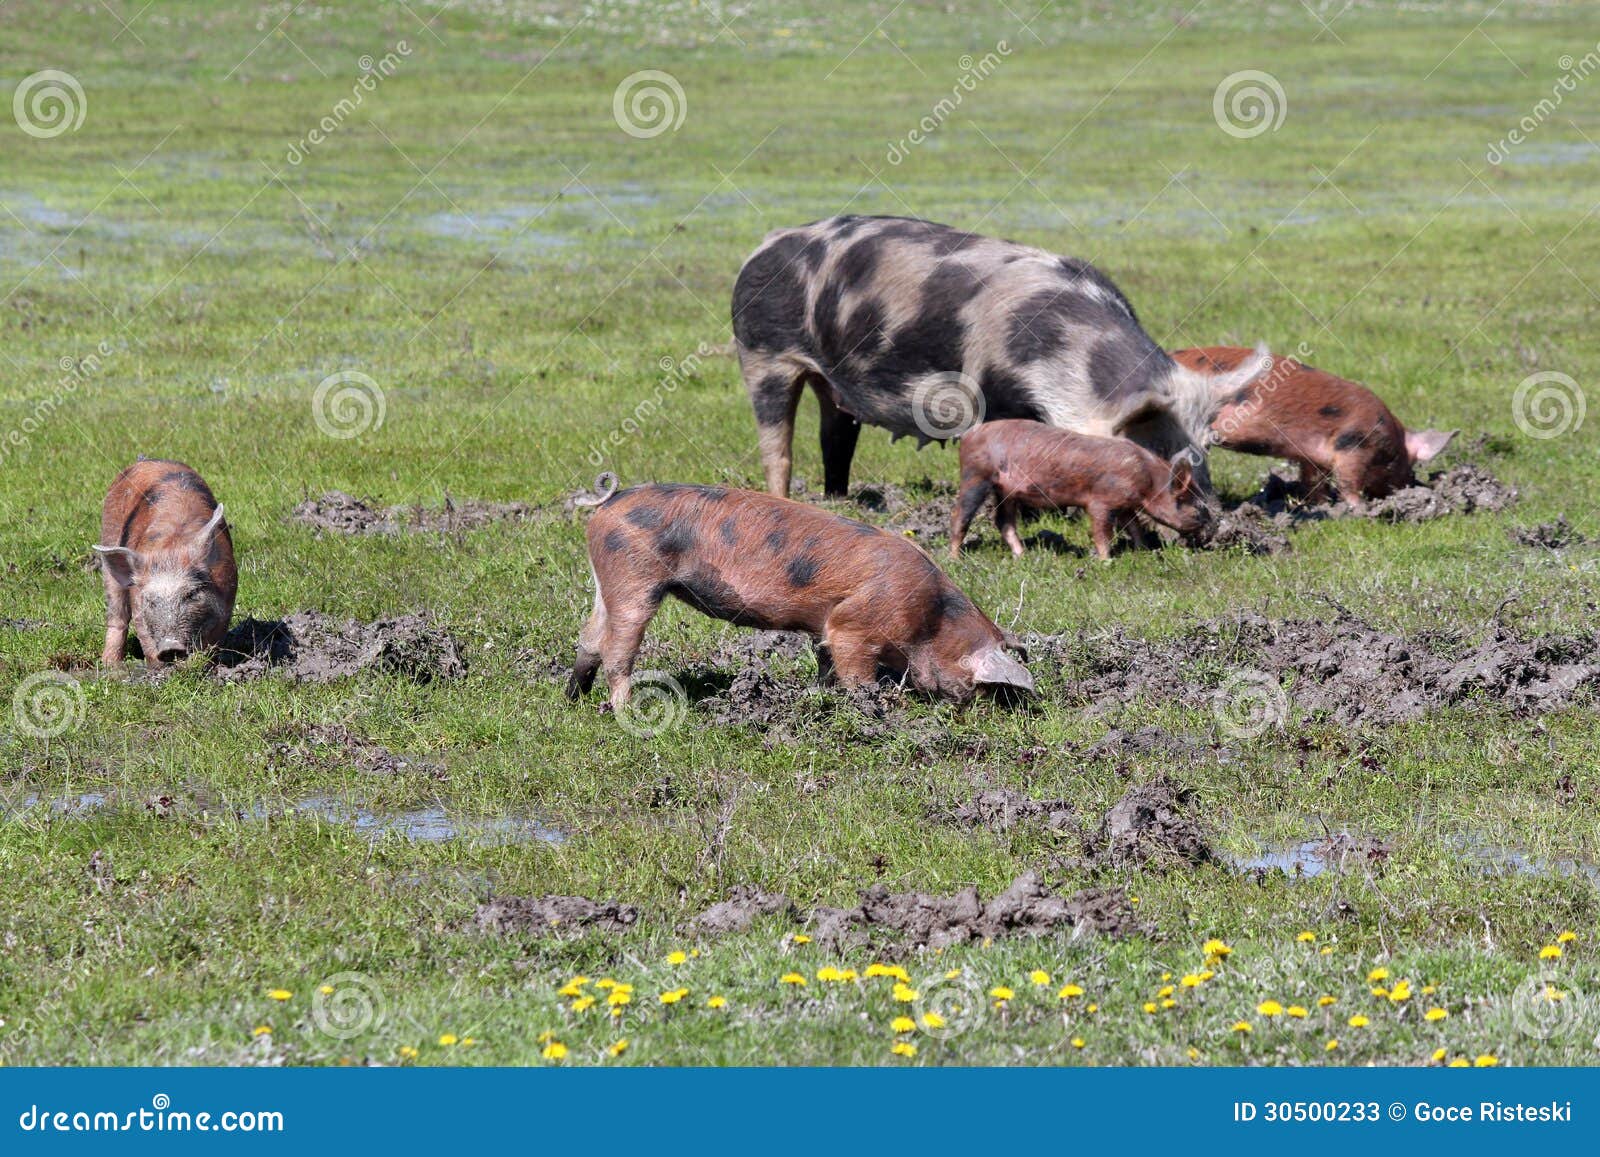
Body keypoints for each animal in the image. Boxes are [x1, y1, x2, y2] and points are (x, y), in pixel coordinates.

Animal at [93, 458, 237, 667]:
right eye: (151, 601)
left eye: (191, 594)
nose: (170, 646)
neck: (172, 548)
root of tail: (146, 460)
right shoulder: (139, 605)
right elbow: (146, 641)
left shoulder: (226, 601)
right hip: (108, 544)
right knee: (117, 617)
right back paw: (109, 665)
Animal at [565, 475, 1033, 710]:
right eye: (977, 682)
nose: (972, 709)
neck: (930, 618)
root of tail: (609, 503)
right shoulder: (853, 628)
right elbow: (855, 671)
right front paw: (871, 707)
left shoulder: (826, 630)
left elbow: (824, 662)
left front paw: (816, 696)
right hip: (635, 579)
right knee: (617, 649)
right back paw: (627, 709)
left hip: (608, 582)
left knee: (589, 636)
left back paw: (573, 699)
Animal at [731, 215, 1272, 498]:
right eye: (1150, 449)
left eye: (1205, 445)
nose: (1214, 523)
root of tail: (765, 243)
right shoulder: (988, 395)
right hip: (762, 353)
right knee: (777, 443)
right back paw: (785, 501)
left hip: (829, 380)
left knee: (836, 435)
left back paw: (839, 501)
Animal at [950, 420, 1211, 561]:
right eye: (1198, 506)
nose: (1214, 527)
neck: (1146, 480)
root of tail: (968, 435)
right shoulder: (1100, 500)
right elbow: (1102, 531)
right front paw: (1107, 560)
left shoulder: (1126, 504)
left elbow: (1134, 526)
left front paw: (1143, 549)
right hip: (976, 474)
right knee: (960, 514)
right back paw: (955, 558)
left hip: (1006, 491)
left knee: (1003, 521)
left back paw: (1023, 555)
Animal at [1170, 345, 1456, 505]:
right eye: (1410, 469)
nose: (1406, 489)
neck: (1390, 439)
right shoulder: (1353, 444)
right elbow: (1348, 480)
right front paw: (1360, 511)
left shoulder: (1312, 456)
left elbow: (1314, 480)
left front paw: (1320, 506)